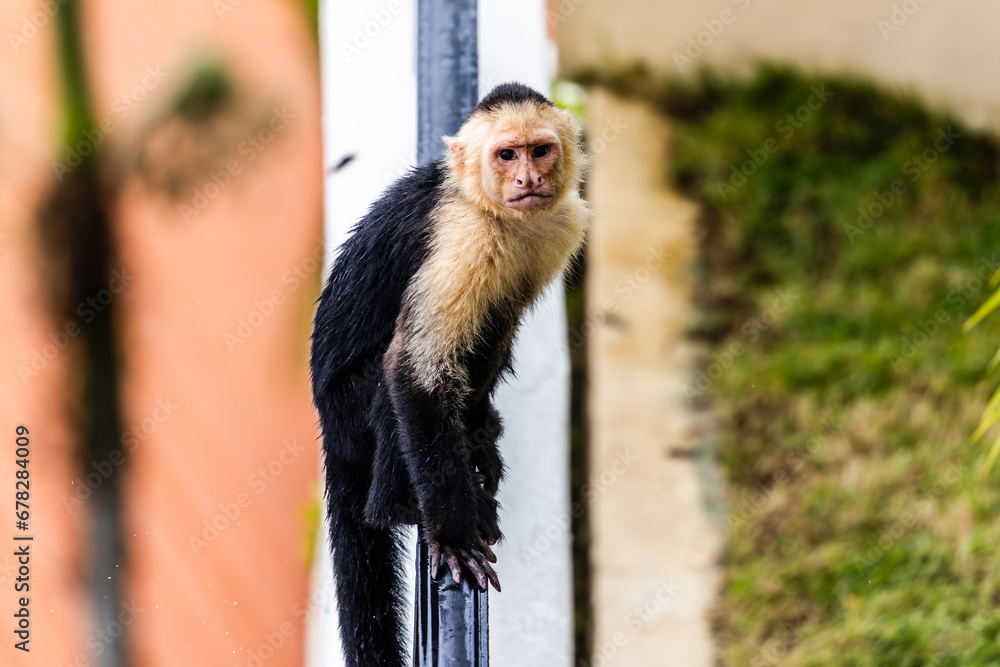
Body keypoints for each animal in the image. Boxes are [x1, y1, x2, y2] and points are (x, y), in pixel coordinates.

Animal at [309, 82, 588, 667]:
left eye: (540, 151)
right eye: (506, 155)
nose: (528, 179)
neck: (489, 209)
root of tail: (328, 427)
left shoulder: (562, 225)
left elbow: (497, 328)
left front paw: (479, 433)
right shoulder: (462, 238)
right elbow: (415, 373)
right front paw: (455, 534)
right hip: (347, 409)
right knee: (389, 392)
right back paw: (398, 505)